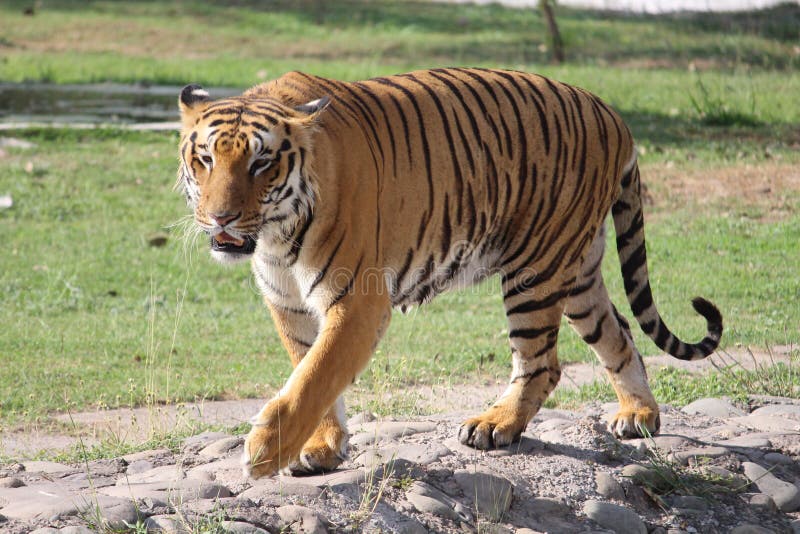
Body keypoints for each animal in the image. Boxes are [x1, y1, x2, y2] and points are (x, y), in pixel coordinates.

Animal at [176, 68, 722, 479]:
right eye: (204, 159)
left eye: (261, 162)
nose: (220, 218)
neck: (275, 234)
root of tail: (611, 112)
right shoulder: (288, 303)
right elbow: (307, 371)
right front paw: (321, 447)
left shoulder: (356, 301)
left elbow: (315, 375)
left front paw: (266, 450)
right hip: (578, 270)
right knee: (620, 334)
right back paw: (639, 415)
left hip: (536, 268)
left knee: (542, 362)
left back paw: (495, 425)